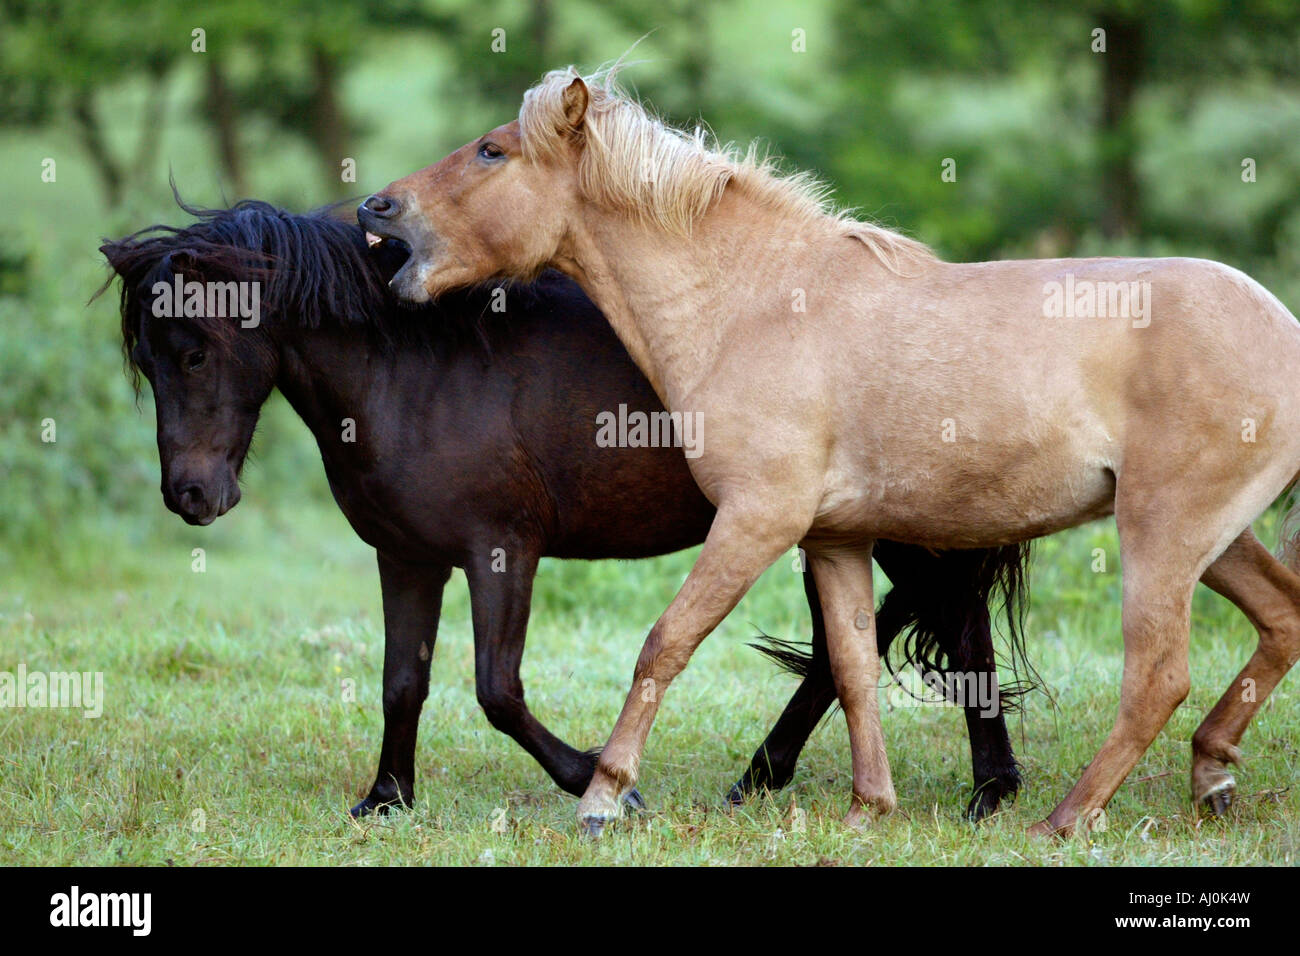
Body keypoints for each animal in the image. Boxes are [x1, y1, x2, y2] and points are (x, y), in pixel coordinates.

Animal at [98, 197, 1031, 820]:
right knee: (888, 632)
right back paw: (771, 777)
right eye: (145, 356)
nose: (190, 496)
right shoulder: (407, 557)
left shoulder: (500, 550)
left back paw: (986, 789)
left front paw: (598, 781)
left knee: (947, 617)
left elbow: (496, 690)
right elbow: (403, 682)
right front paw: (386, 798)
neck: (412, 370)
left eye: (194, 350)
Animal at [361, 66, 1300, 838]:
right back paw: (1210, 773)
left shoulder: (756, 521)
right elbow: (849, 668)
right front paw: (867, 807)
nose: (377, 209)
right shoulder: (834, 540)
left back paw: (1064, 820)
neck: (754, 304)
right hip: (1213, 539)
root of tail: (1281, 327)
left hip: (1162, 534)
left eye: (492, 150)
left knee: (1157, 678)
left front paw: (603, 795)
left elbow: (666, 642)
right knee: (1280, 618)